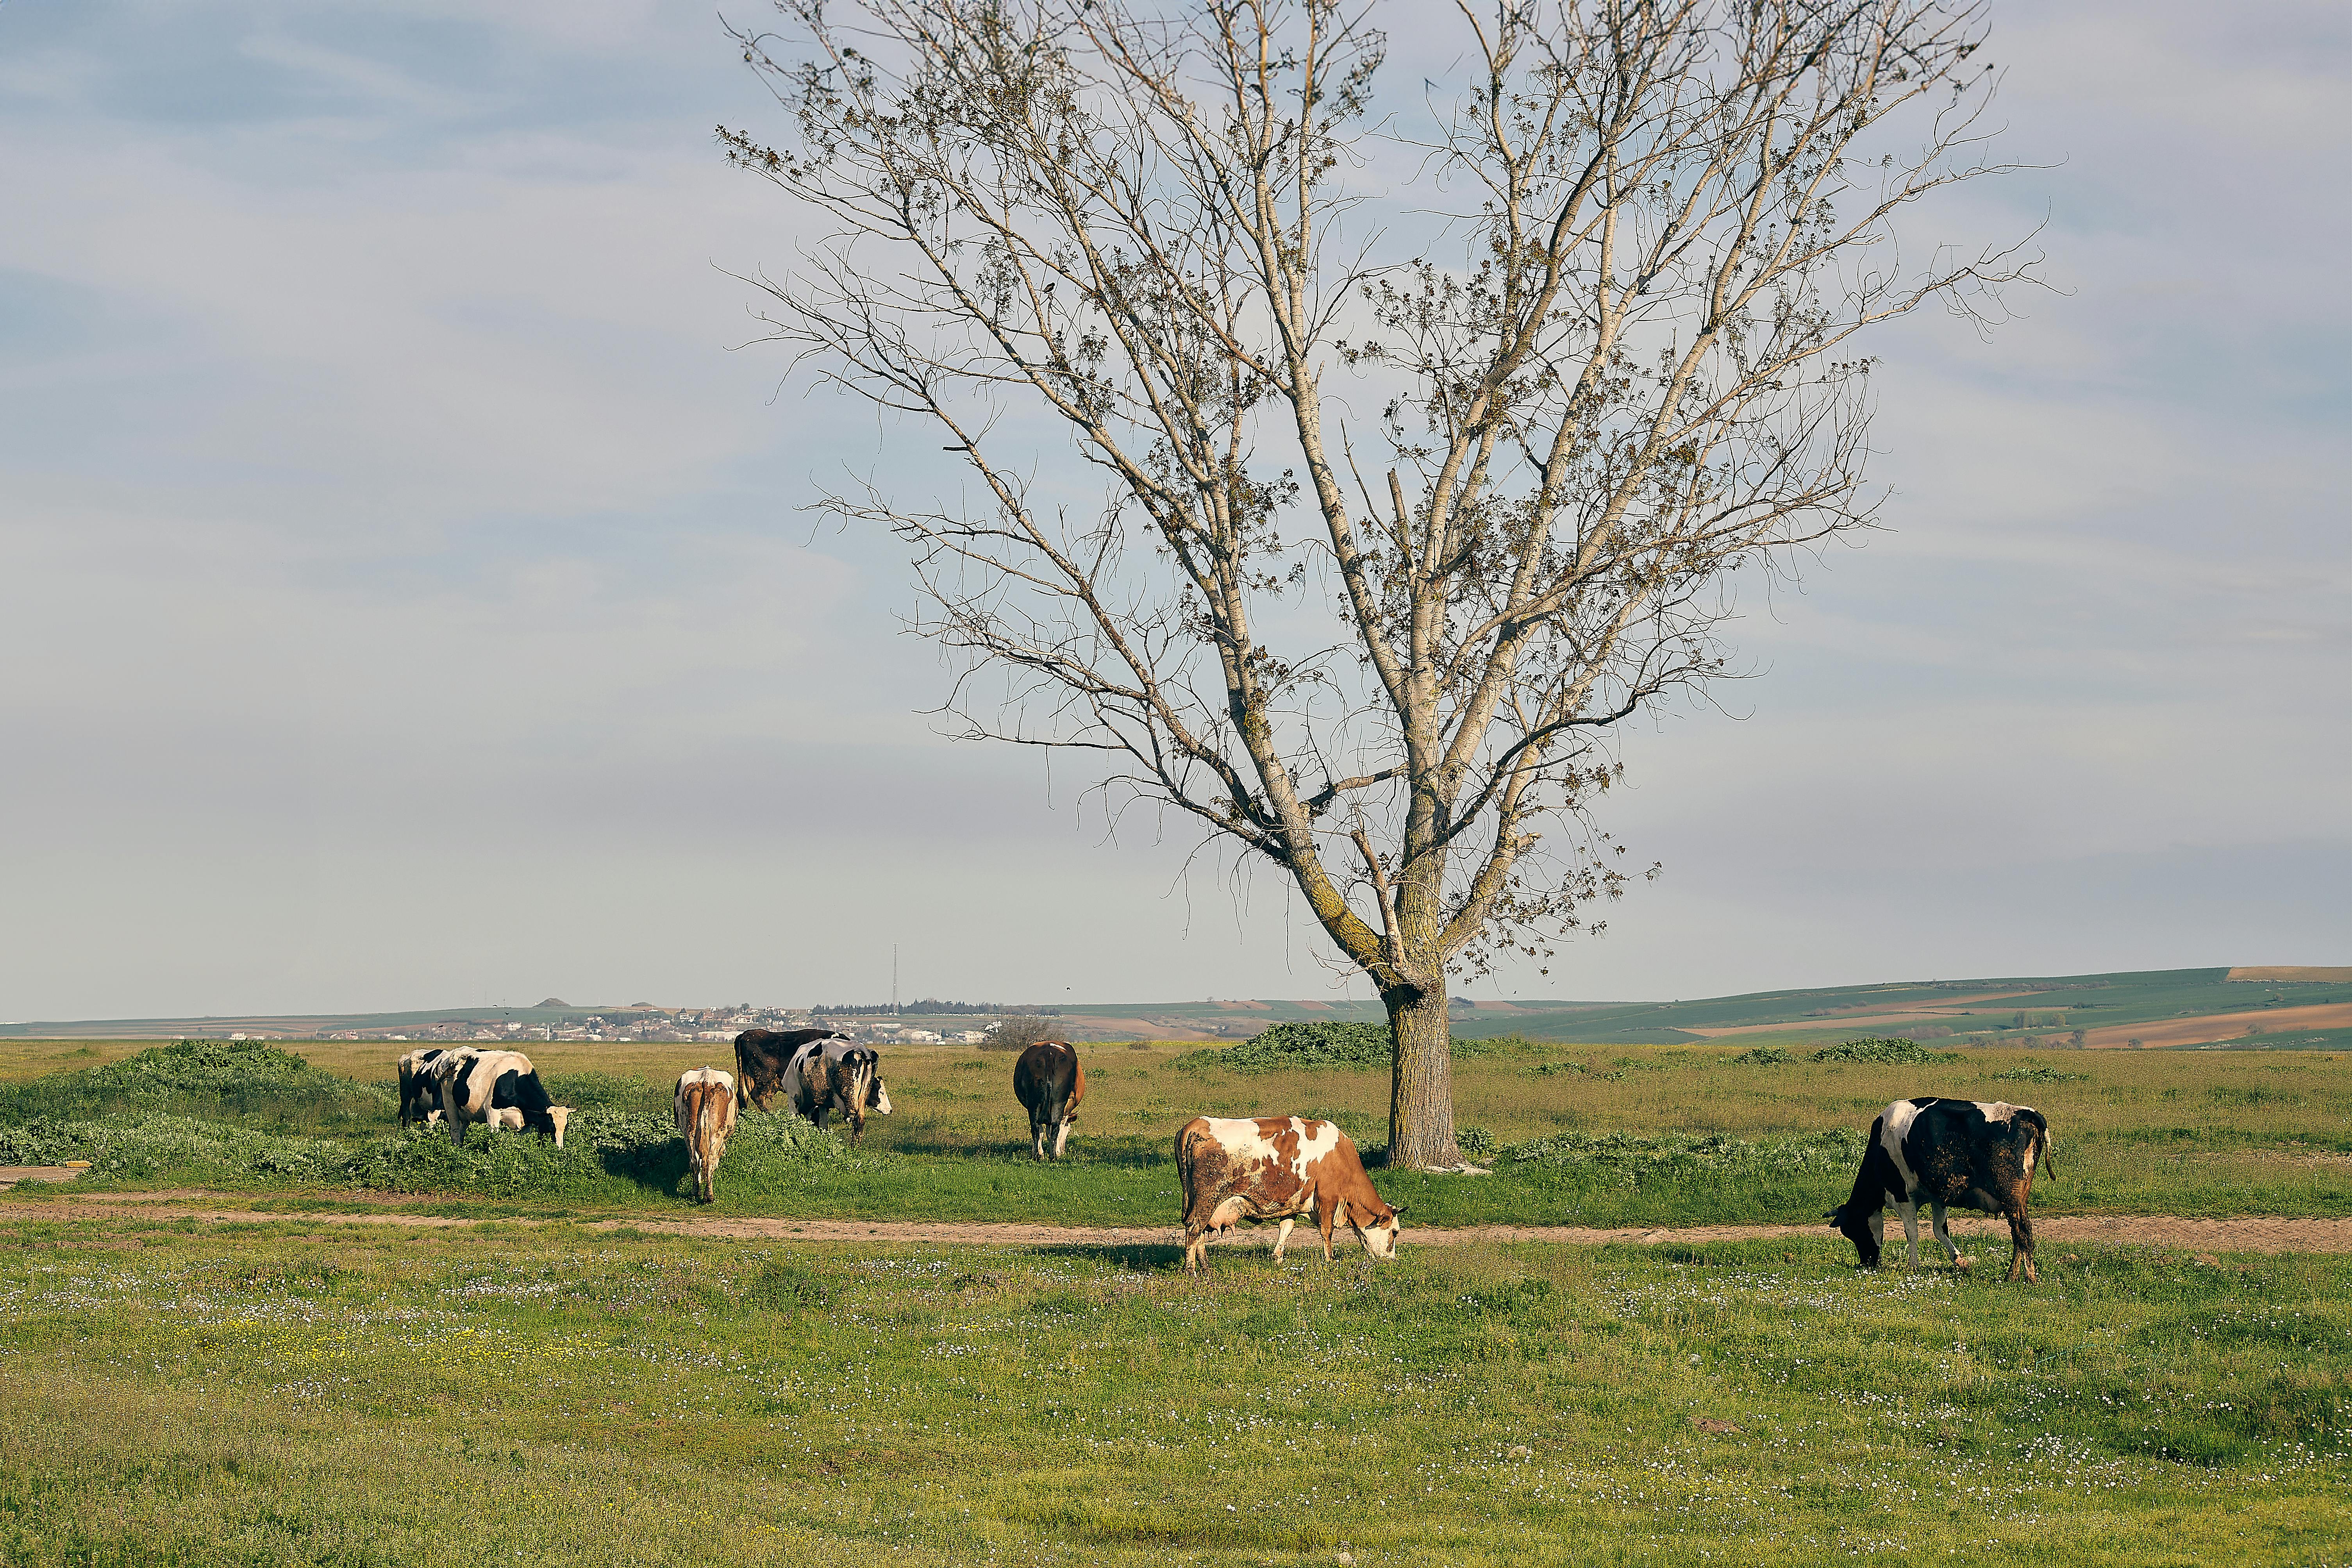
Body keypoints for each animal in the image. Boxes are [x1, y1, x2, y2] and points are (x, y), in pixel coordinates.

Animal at [434, 1049, 573, 1149]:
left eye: (565, 1128)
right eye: (551, 1127)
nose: (559, 1150)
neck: (516, 1081)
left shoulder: (525, 1122)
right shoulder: (492, 1112)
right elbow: (494, 1137)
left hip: (465, 1112)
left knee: (461, 1131)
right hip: (449, 1103)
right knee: (455, 1130)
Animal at [674, 1066, 738, 1205]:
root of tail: (707, 1082)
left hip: (690, 1130)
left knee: (694, 1159)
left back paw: (695, 1191)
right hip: (717, 1132)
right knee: (710, 1159)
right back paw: (709, 1196)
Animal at [1012, 1041, 1085, 1161]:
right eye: (1069, 1129)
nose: (1064, 1150)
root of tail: (1049, 1053)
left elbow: (1044, 1131)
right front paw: (1057, 1151)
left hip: (1034, 1102)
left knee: (1036, 1129)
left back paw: (1037, 1156)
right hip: (1059, 1101)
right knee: (1055, 1128)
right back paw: (1054, 1156)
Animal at [1175, 1116, 1404, 1273]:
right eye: (1395, 1233)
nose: (1392, 1260)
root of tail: (1196, 1124)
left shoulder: (1293, 1203)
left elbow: (1286, 1229)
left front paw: (1277, 1258)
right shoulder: (1328, 1199)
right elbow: (1327, 1232)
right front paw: (1329, 1260)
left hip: (1196, 1201)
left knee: (1197, 1231)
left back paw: (1206, 1267)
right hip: (1207, 1199)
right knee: (1194, 1228)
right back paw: (1191, 1270)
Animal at [1826, 1098, 2053, 1283]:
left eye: (1853, 1230)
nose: (1868, 1263)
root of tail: (2027, 1113)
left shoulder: (1903, 1197)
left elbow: (1912, 1232)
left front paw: (1913, 1266)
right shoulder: (1938, 1197)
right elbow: (1939, 1230)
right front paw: (1961, 1262)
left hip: (2010, 1197)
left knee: (2022, 1231)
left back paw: (2026, 1276)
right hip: (2018, 1198)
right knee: (2019, 1234)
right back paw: (2014, 1275)